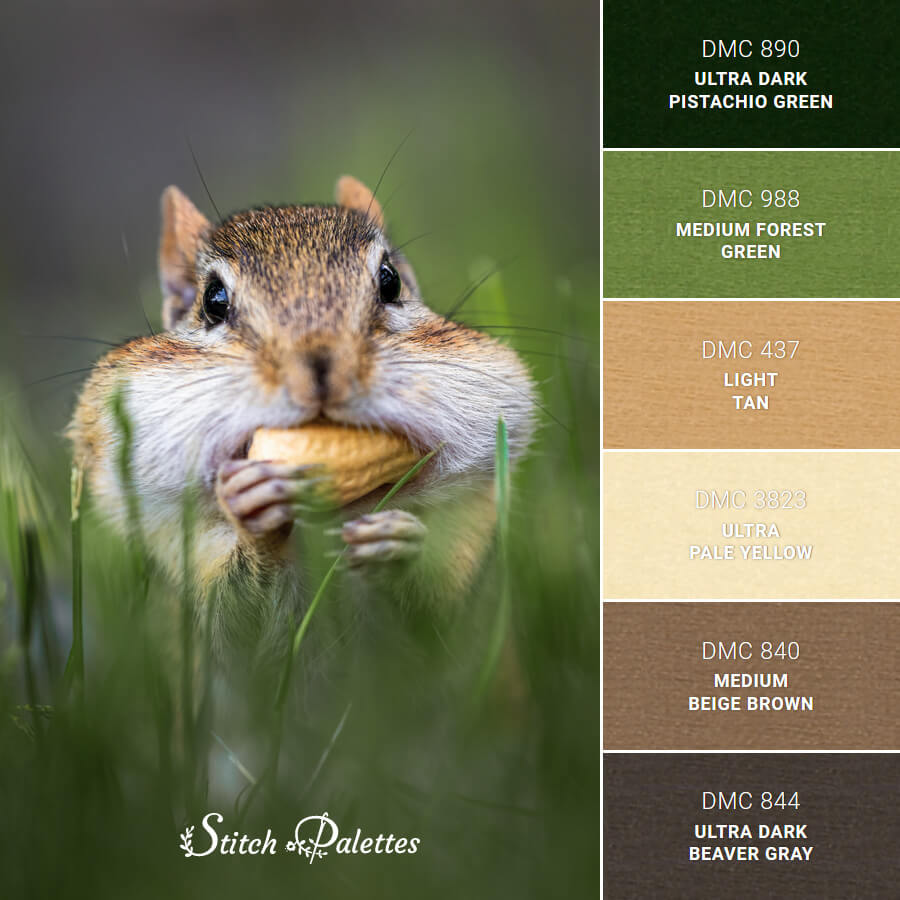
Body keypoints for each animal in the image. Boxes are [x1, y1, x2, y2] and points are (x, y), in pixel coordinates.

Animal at [67, 175, 536, 643]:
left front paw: (397, 549)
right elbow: (236, 626)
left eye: (391, 282)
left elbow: (436, 619)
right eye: (214, 301)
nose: (322, 375)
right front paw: (255, 515)